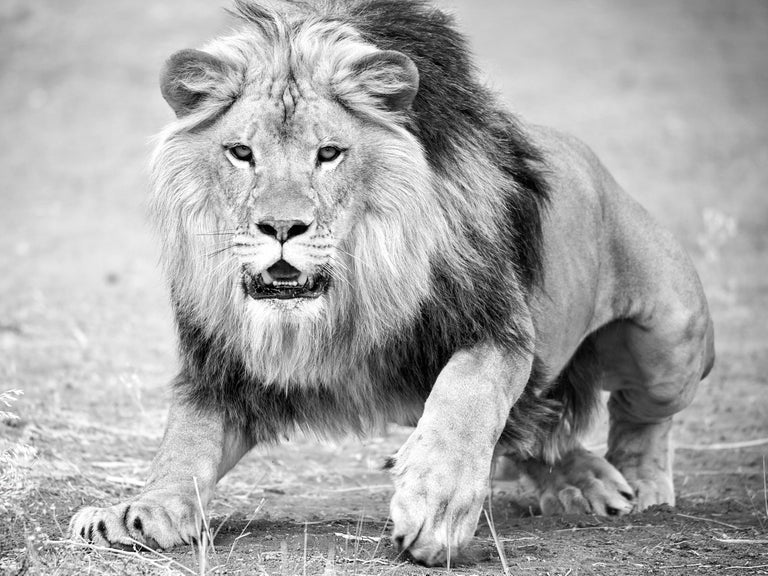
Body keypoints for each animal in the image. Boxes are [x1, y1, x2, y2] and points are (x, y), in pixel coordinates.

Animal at [69, 0, 715, 566]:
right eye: (240, 152)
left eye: (329, 153)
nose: (281, 227)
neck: (348, 299)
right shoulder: (227, 373)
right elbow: (185, 443)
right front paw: (138, 511)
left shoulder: (498, 328)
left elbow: (467, 399)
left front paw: (435, 506)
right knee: (531, 431)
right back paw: (580, 481)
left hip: (671, 339)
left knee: (635, 414)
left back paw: (637, 479)